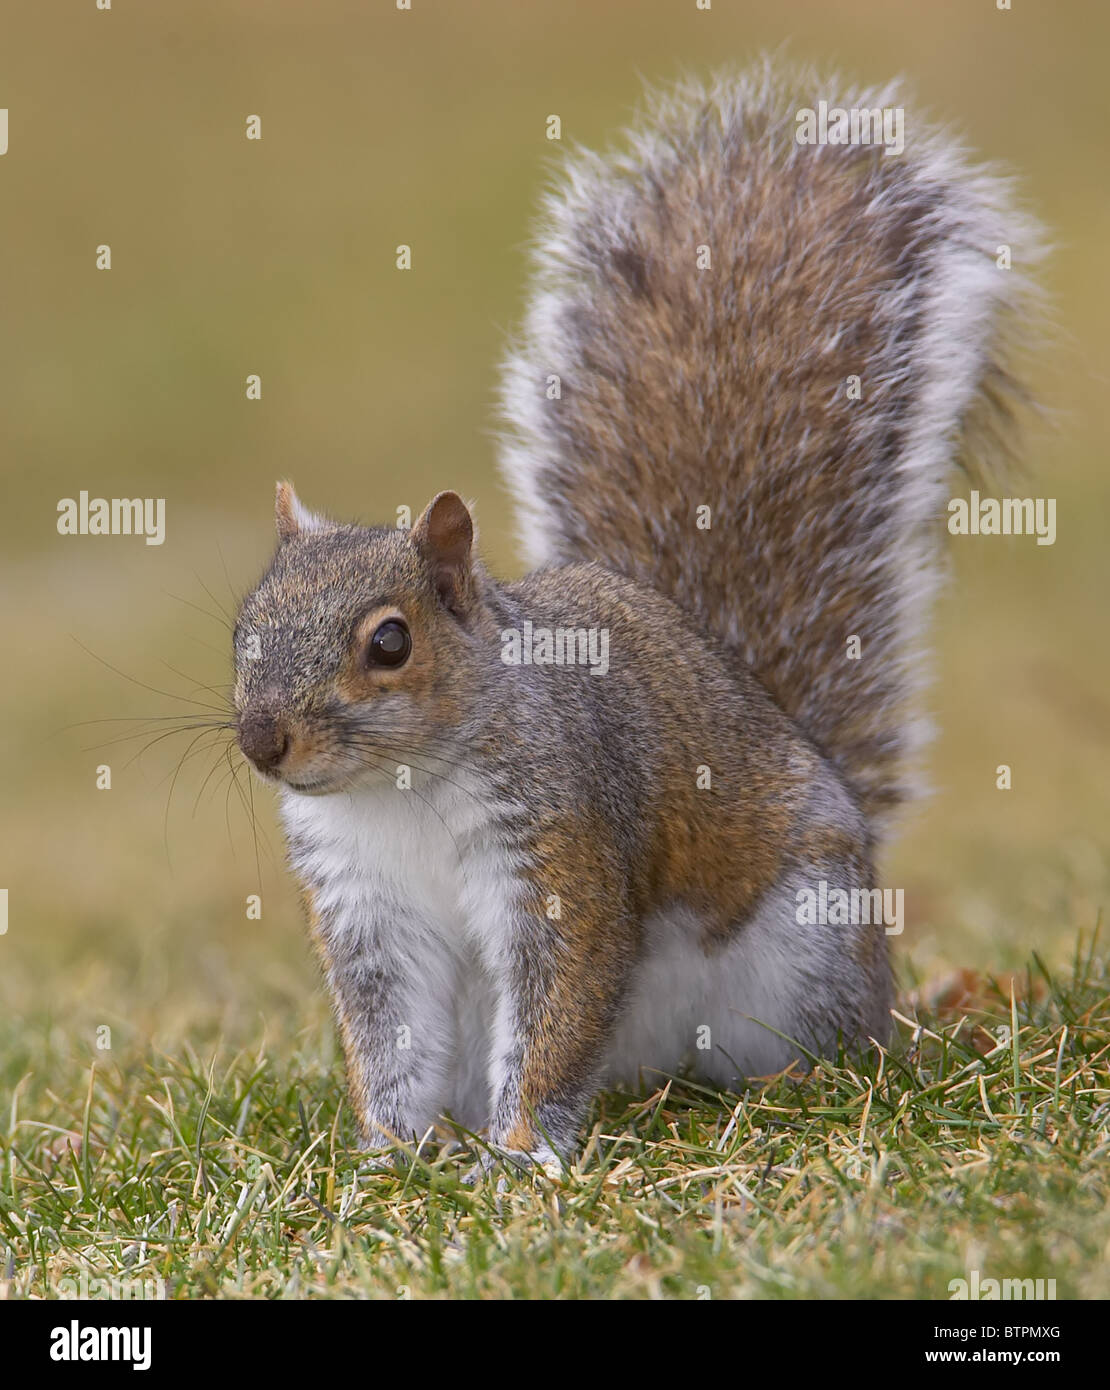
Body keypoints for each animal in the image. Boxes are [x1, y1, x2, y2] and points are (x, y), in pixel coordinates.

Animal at [232, 67, 1039, 1169]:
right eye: (243, 625)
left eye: (389, 642)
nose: (261, 741)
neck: (396, 791)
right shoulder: (367, 913)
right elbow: (389, 1035)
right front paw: (390, 1157)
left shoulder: (561, 847)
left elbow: (562, 997)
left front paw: (522, 1152)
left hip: (804, 950)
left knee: (832, 1042)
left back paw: (796, 1080)